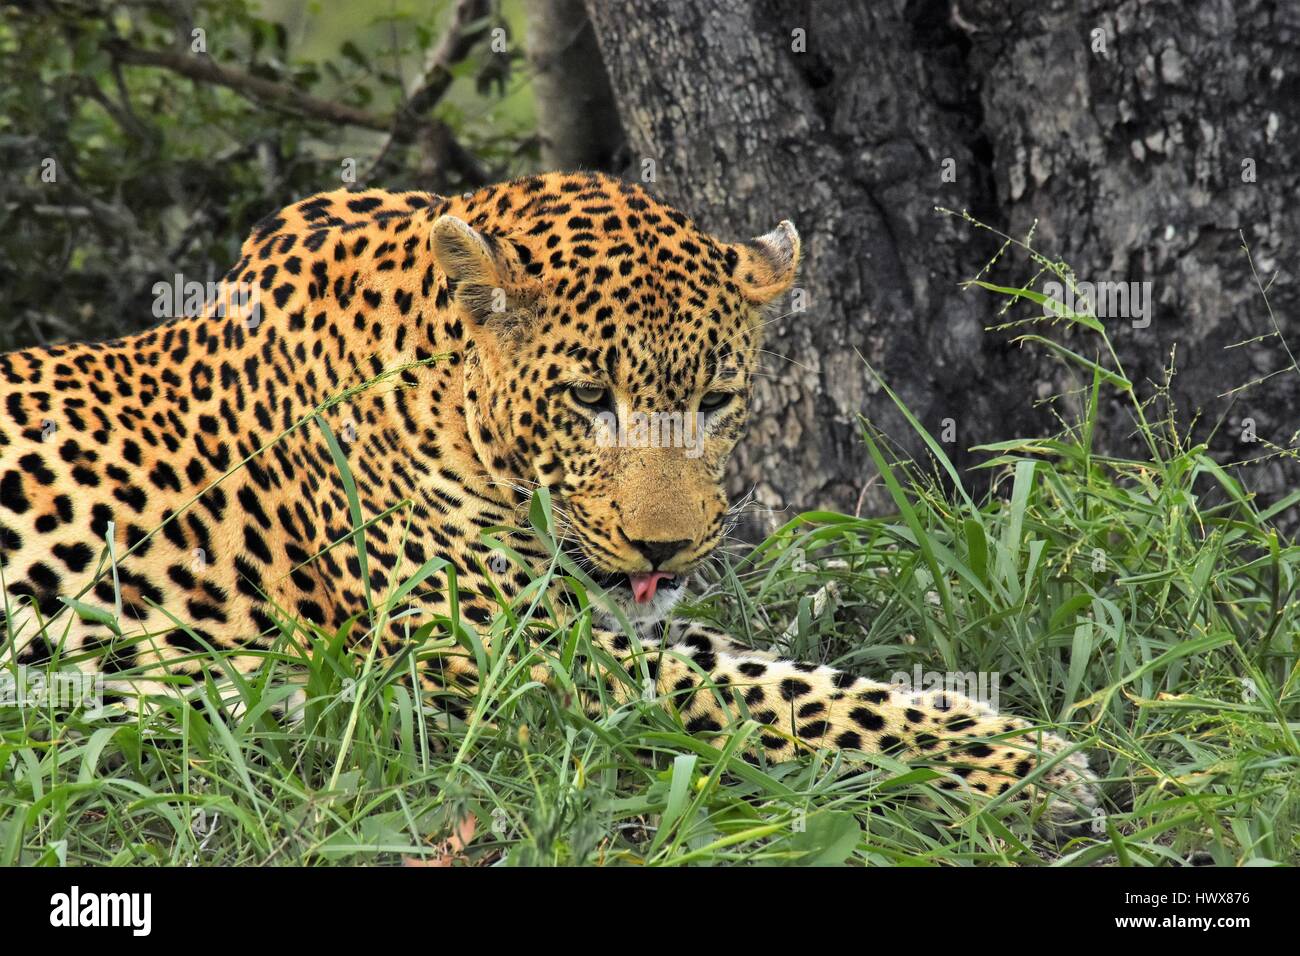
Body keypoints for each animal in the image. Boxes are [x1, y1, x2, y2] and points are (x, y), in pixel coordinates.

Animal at [0, 170, 1096, 824]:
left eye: (715, 400)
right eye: (588, 397)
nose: (664, 550)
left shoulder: (590, 617)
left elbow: (796, 675)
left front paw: (990, 729)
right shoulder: (509, 653)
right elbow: (785, 702)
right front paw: (1027, 767)